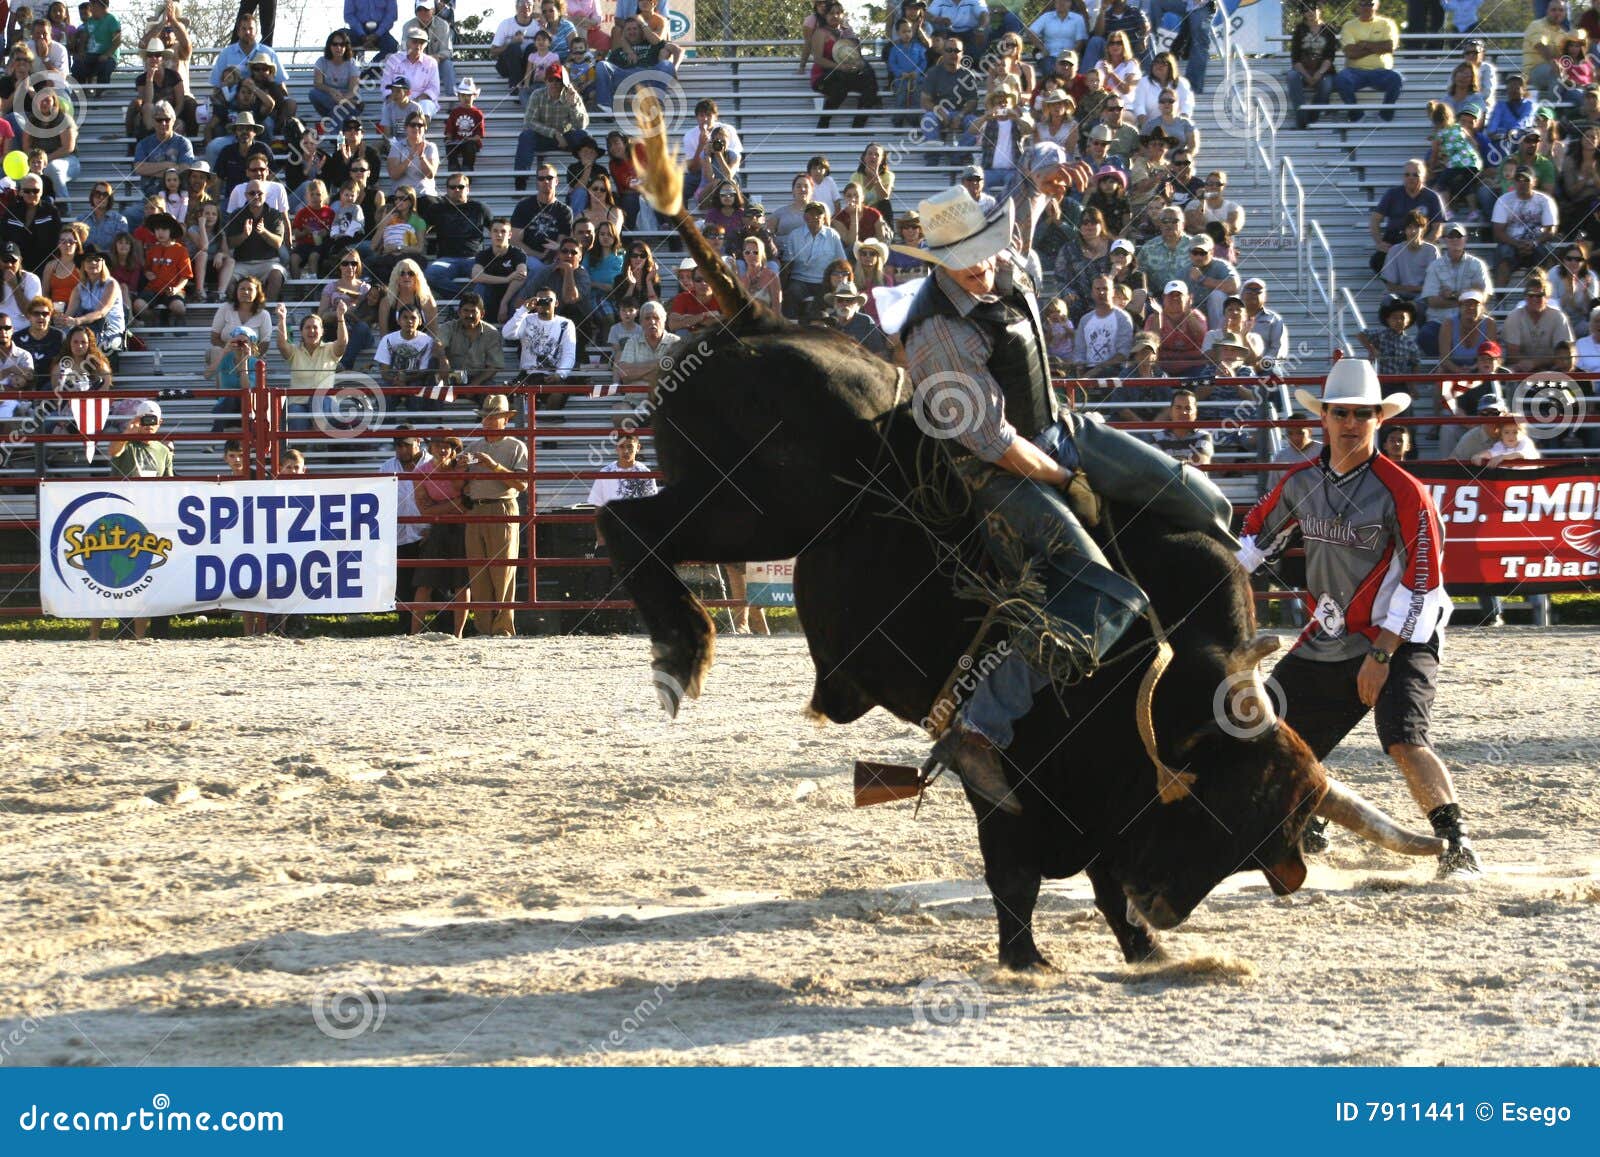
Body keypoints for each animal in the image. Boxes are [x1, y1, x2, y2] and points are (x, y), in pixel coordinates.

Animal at [594, 93, 1444, 968]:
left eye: (1260, 833)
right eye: (1216, 803)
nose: (1164, 902)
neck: (1149, 669)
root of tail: (760, 314)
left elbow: (1096, 871)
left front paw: (1146, 945)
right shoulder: (1011, 784)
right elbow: (1013, 867)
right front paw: (1029, 958)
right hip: (757, 505)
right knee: (627, 522)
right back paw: (681, 650)